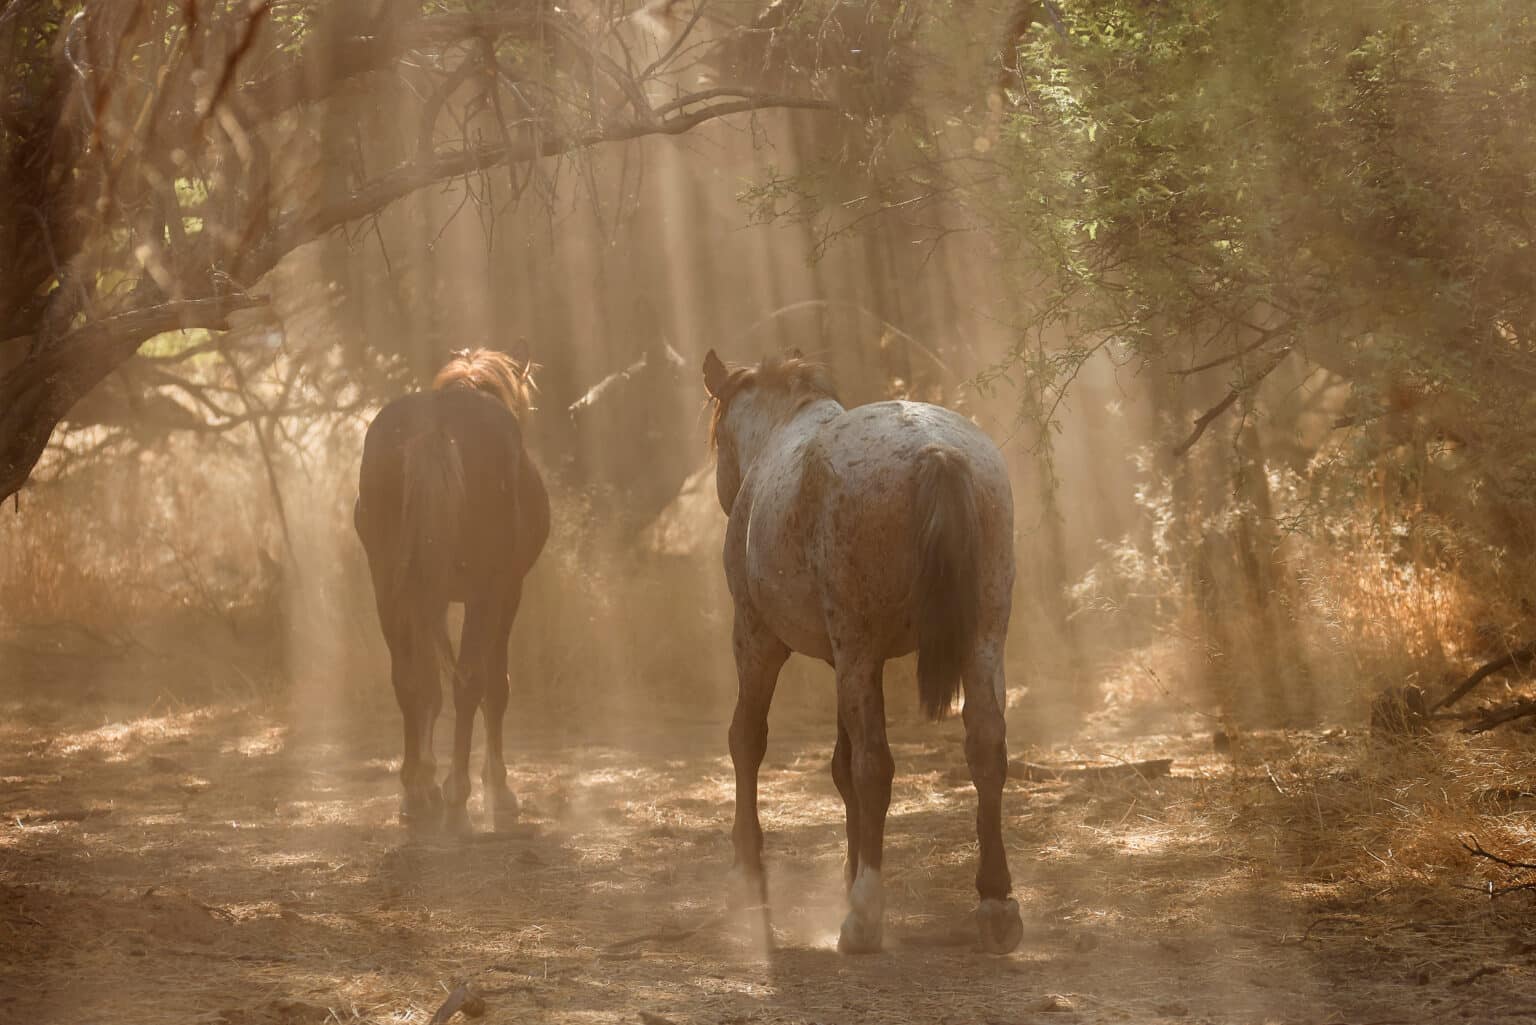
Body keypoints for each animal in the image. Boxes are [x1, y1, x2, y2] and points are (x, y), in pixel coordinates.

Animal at [354, 347, 549, 835]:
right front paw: (497, 788)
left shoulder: (430, 598)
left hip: (389, 589)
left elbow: (428, 686)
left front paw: (424, 776)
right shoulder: (507, 591)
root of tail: (437, 428)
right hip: (483, 594)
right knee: (471, 683)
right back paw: (459, 793)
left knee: (409, 680)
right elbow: (494, 686)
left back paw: (416, 793)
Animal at [701, 349, 1022, 955]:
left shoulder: (758, 639)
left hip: (857, 647)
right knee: (986, 748)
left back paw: (865, 916)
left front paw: (749, 872)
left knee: (876, 764)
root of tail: (934, 451)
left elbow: (748, 741)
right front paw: (847, 870)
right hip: (984, 639)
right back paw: (995, 903)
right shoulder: (845, 661)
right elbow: (840, 767)